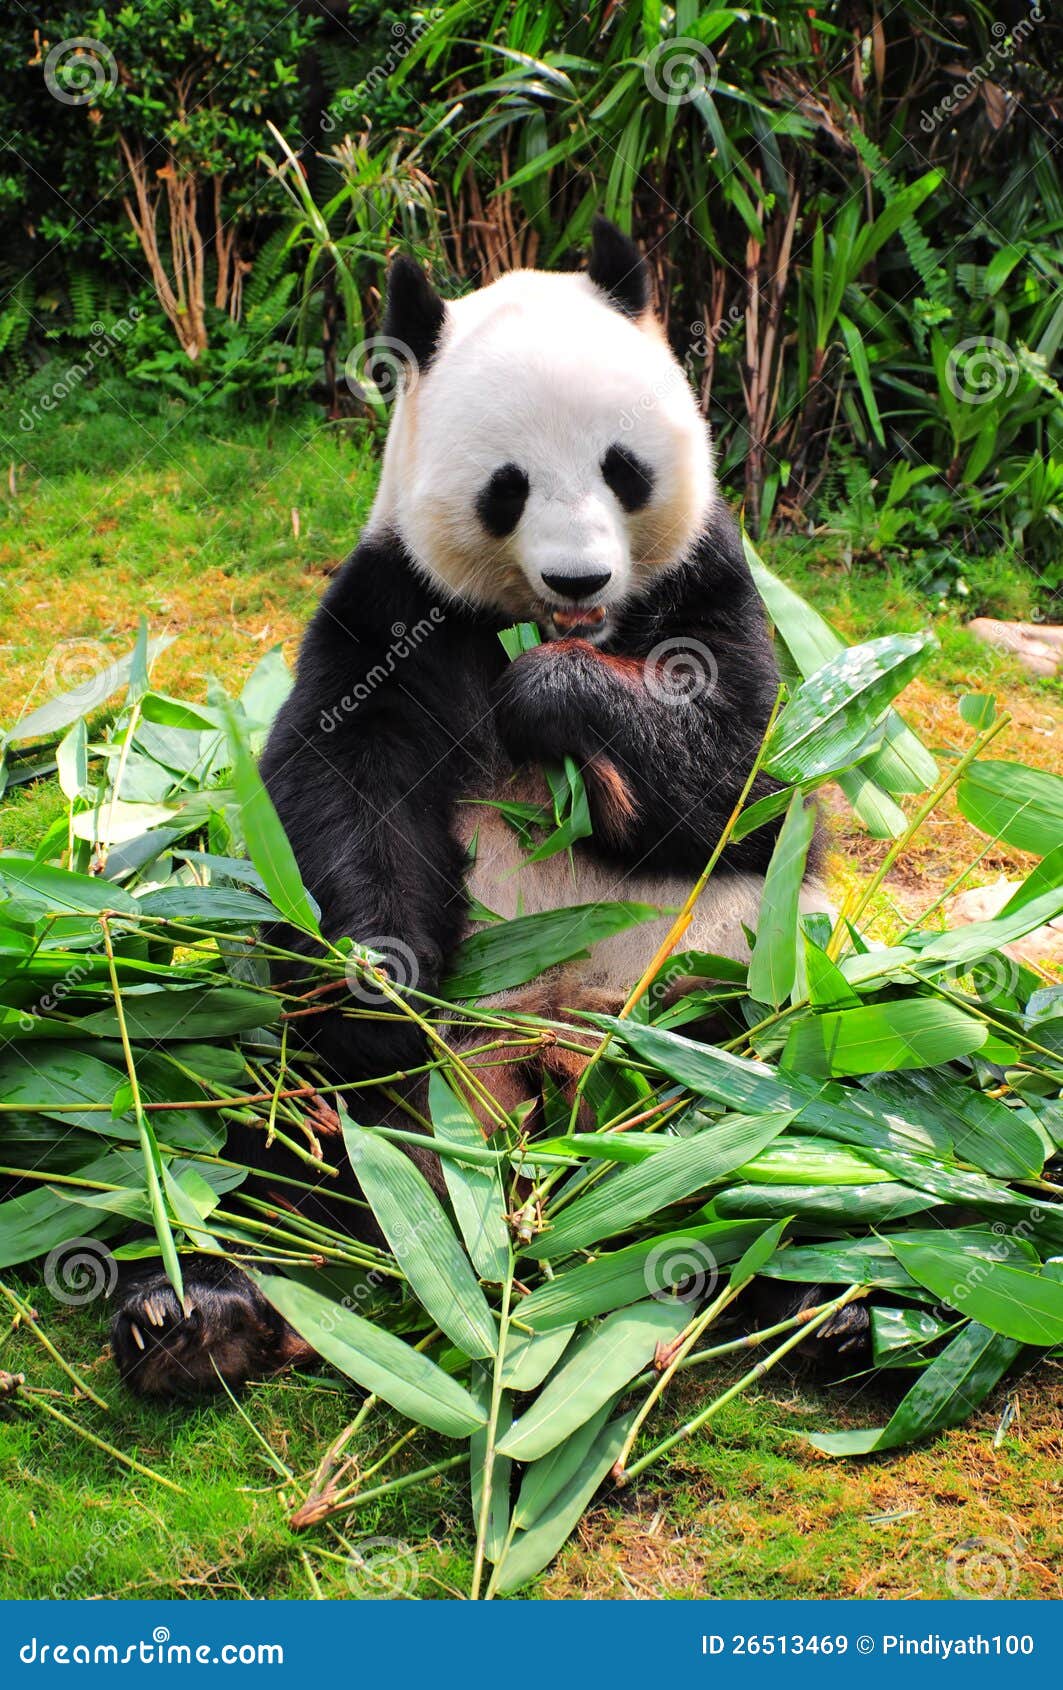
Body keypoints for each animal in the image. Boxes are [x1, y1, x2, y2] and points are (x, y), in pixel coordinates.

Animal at [110, 220, 847, 1396]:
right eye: (509, 484)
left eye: (622, 467)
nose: (580, 578)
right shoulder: (396, 600)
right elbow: (339, 780)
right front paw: (382, 970)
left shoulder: (713, 581)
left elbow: (749, 785)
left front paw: (554, 698)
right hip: (325, 1075)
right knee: (244, 1120)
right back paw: (193, 1315)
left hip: (746, 998)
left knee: (790, 1123)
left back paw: (824, 1299)